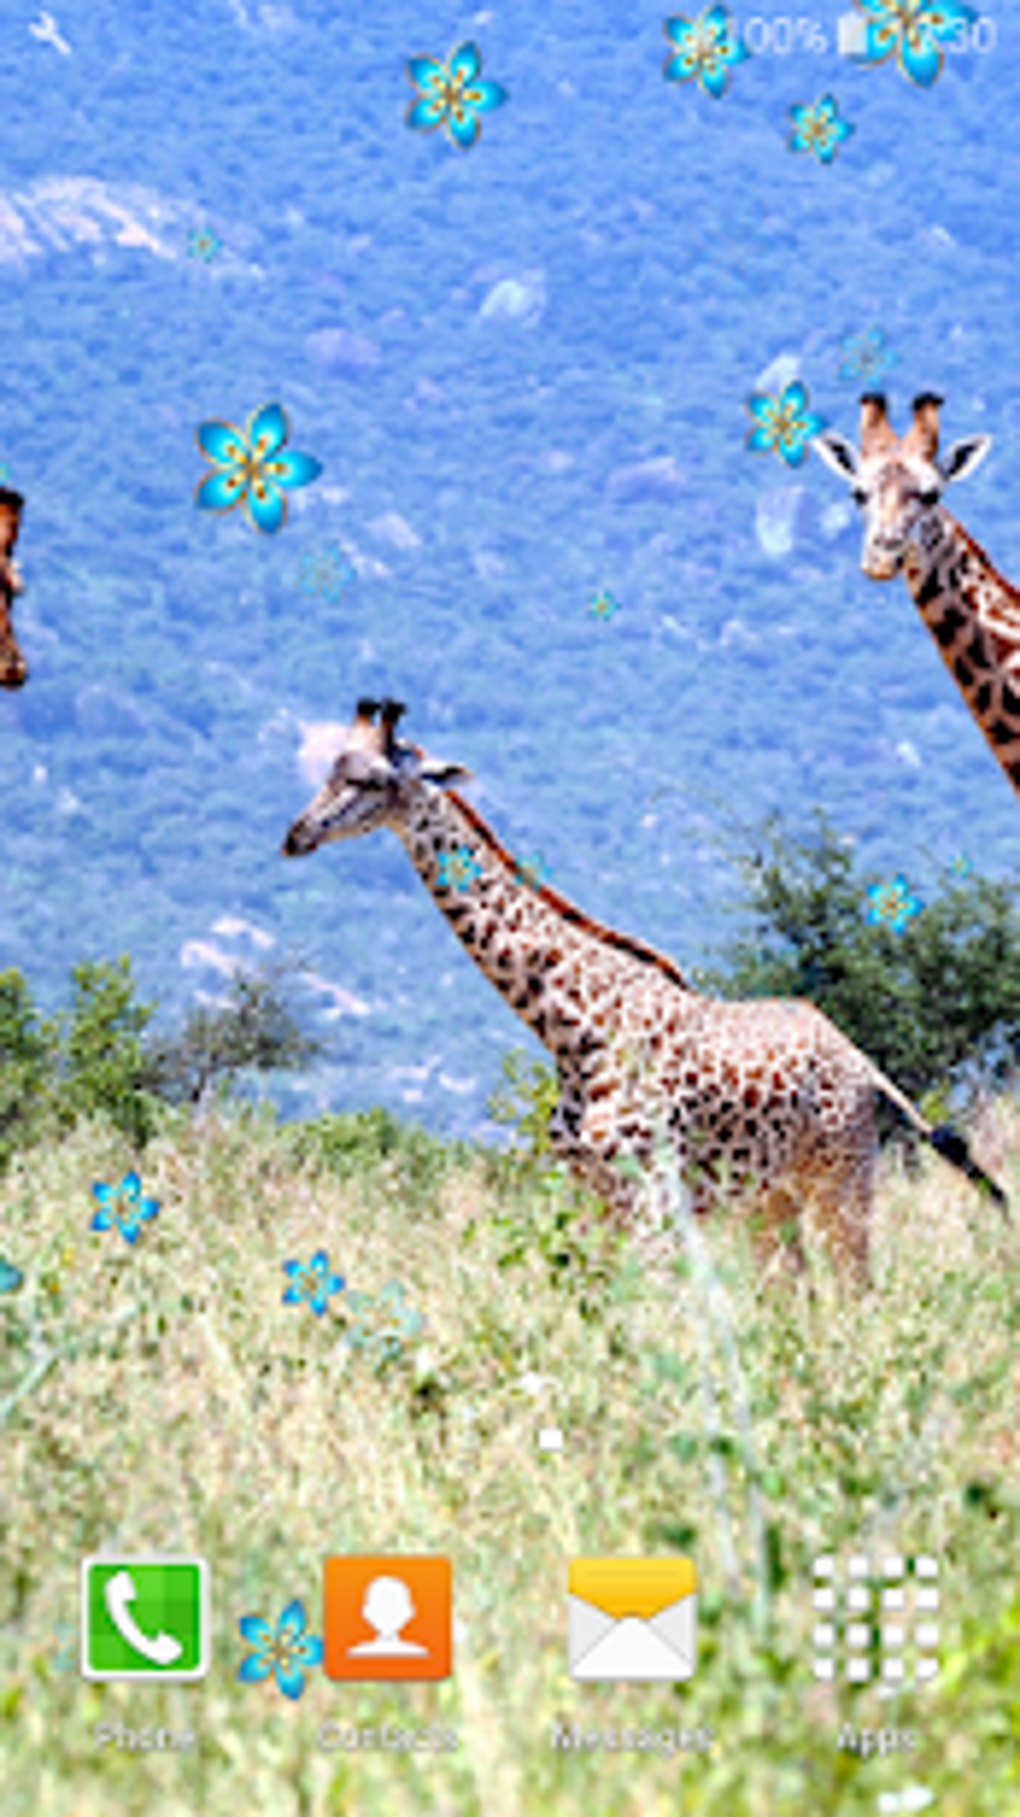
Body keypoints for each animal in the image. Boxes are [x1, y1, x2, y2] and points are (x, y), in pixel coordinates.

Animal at [282, 699, 1007, 1277]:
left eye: (369, 779)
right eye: (329, 770)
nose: (296, 834)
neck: (571, 1029)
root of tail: (864, 1063)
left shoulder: (655, 1202)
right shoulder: (592, 1192)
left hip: (841, 1181)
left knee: (856, 1292)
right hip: (769, 1200)